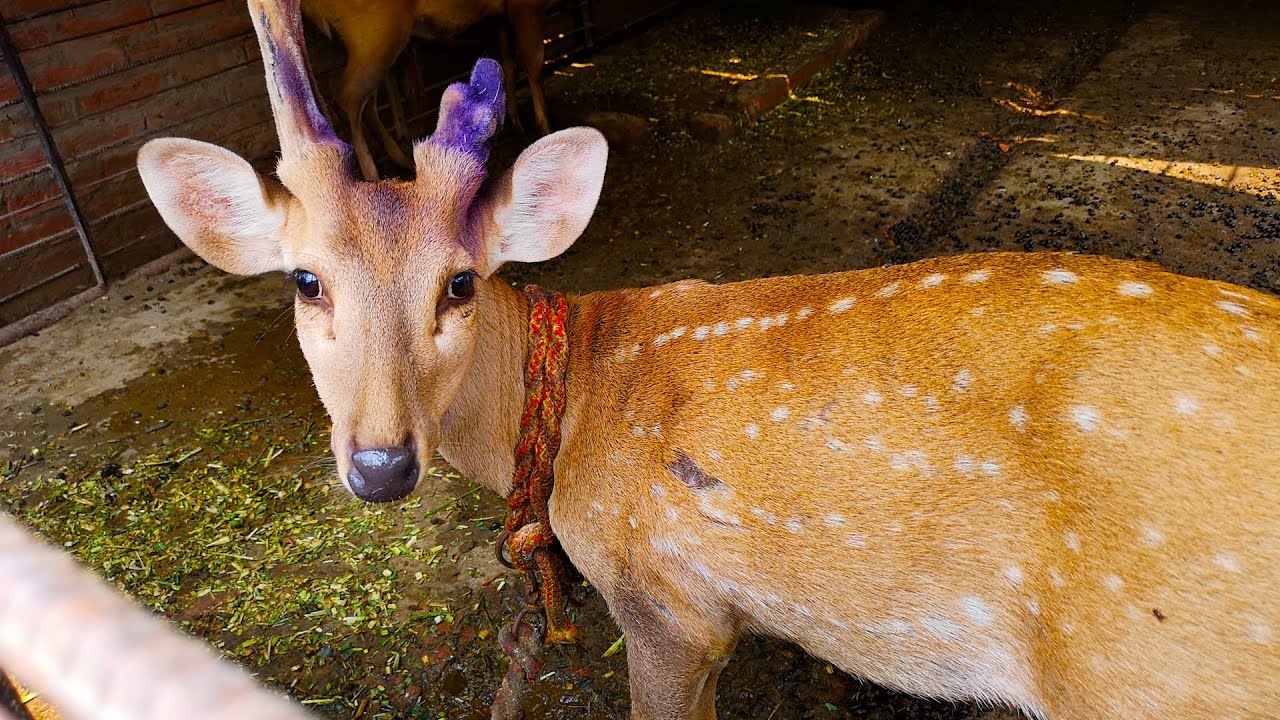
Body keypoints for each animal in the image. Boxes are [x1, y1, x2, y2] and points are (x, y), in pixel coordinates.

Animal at [299, 0, 556, 181]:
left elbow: (507, 65)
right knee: (347, 98)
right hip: (374, 37)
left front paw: (517, 123)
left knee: (366, 103)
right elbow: (534, 63)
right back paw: (371, 173)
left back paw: (401, 159)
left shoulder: (502, 18)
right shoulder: (525, 6)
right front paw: (545, 127)